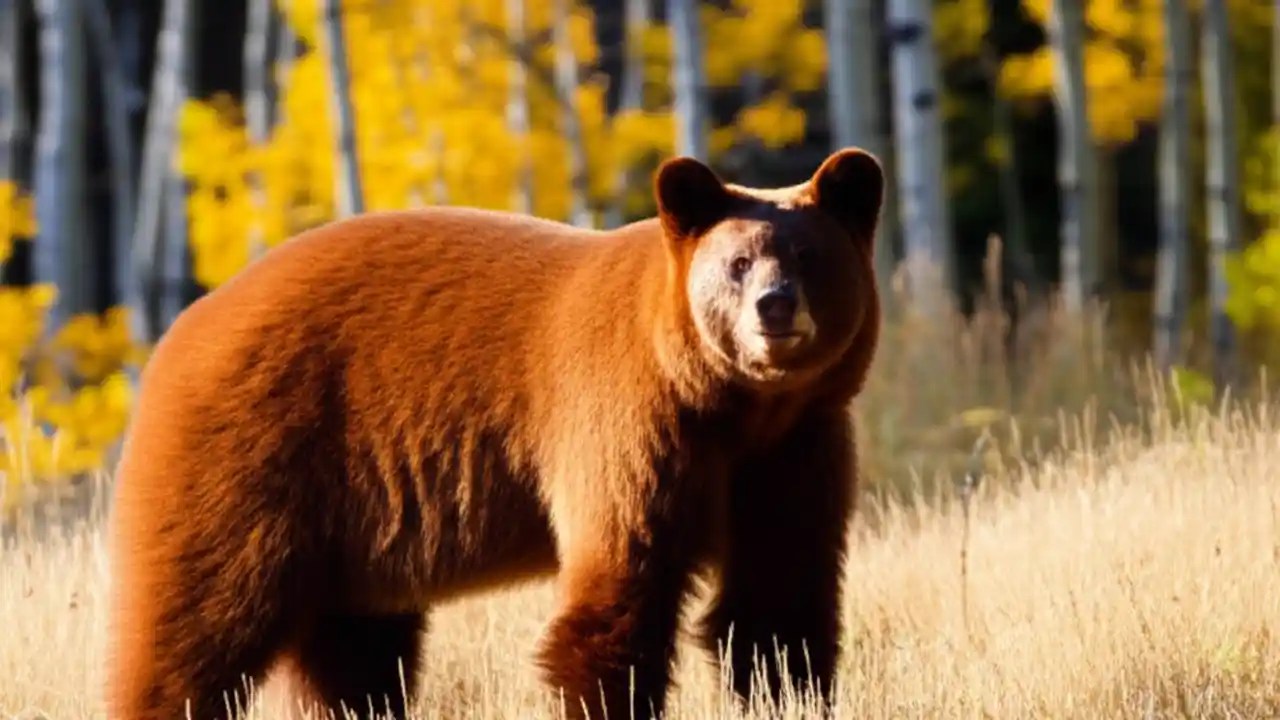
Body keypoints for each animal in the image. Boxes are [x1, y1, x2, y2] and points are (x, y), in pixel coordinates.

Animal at [104, 146, 884, 720]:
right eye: (738, 263)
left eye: (810, 257)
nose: (774, 307)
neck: (739, 406)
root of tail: (180, 332)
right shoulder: (632, 426)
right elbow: (620, 588)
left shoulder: (798, 446)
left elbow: (779, 593)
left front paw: (791, 690)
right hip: (250, 463)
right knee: (198, 625)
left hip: (347, 533)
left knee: (352, 653)